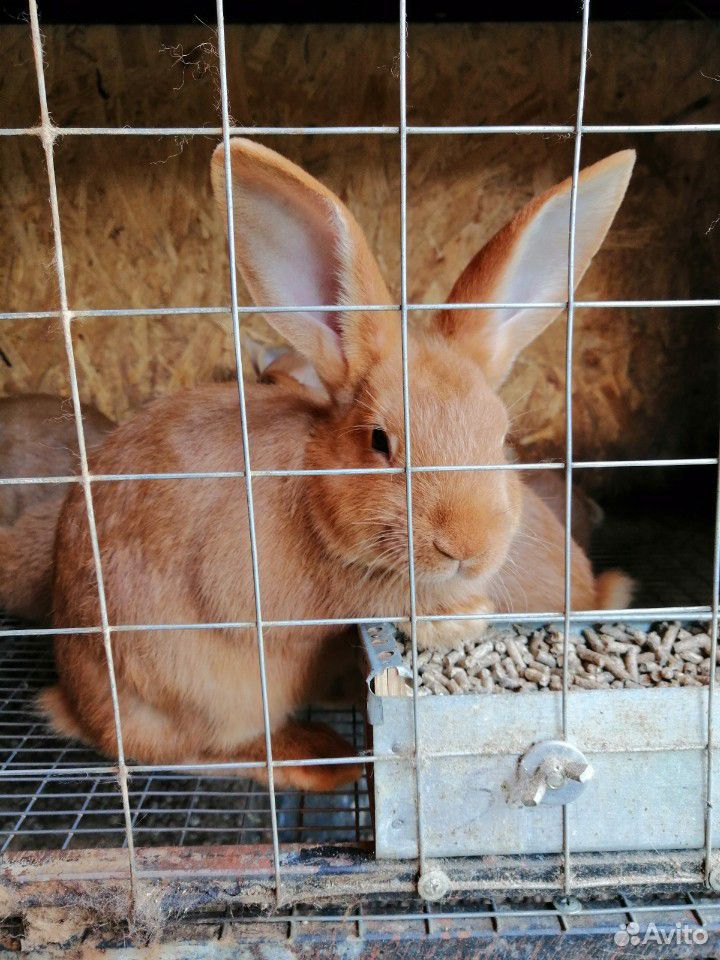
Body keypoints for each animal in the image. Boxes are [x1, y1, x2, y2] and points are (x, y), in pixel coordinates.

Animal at [41, 140, 635, 791]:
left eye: (501, 437)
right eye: (379, 441)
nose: (466, 545)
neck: (314, 481)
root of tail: (76, 703)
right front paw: (466, 621)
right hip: (211, 689)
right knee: (192, 750)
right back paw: (324, 759)